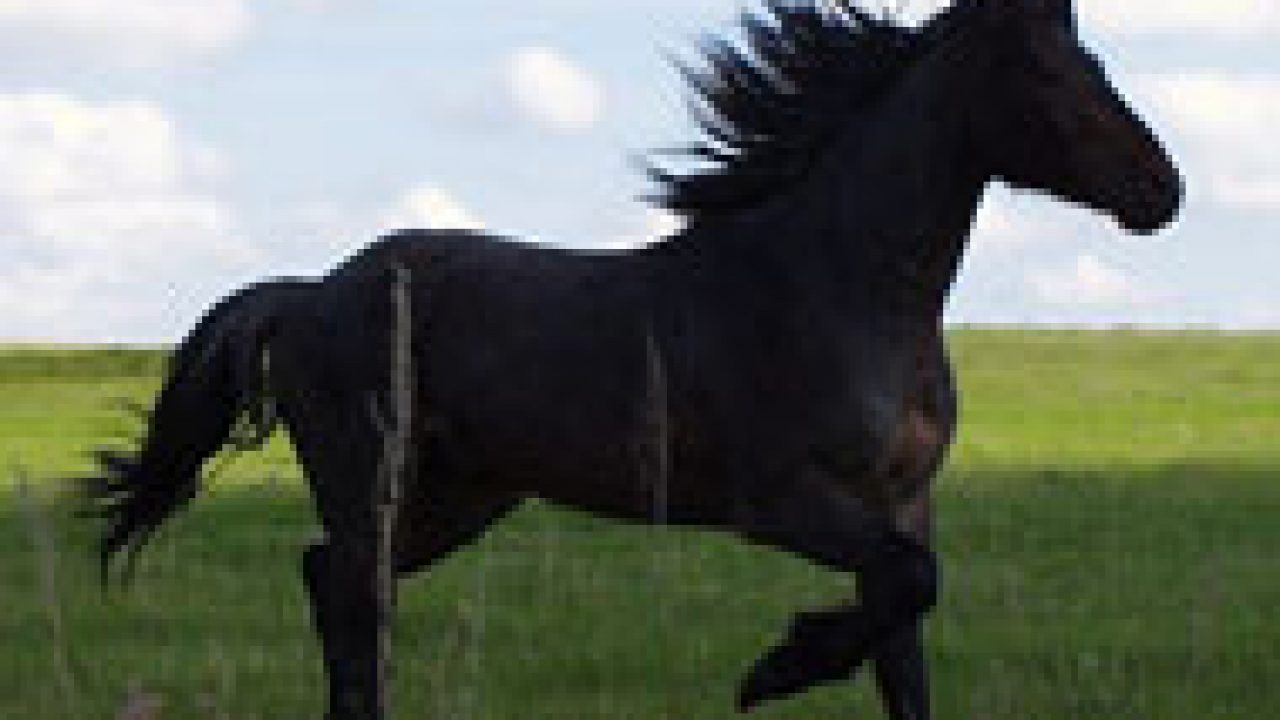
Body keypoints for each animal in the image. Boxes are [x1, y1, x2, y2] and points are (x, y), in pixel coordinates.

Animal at [83, 1, 1182, 718]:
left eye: (1096, 60)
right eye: (1047, 73)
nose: (1161, 190)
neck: (832, 281)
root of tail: (307, 293)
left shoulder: (902, 501)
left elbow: (904, 638)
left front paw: (796, 659)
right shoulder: (780, 502)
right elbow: (907, 585)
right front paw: (774, 670)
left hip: (462, 498)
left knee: (333, 585)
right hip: (377, 484)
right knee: (351, 597)